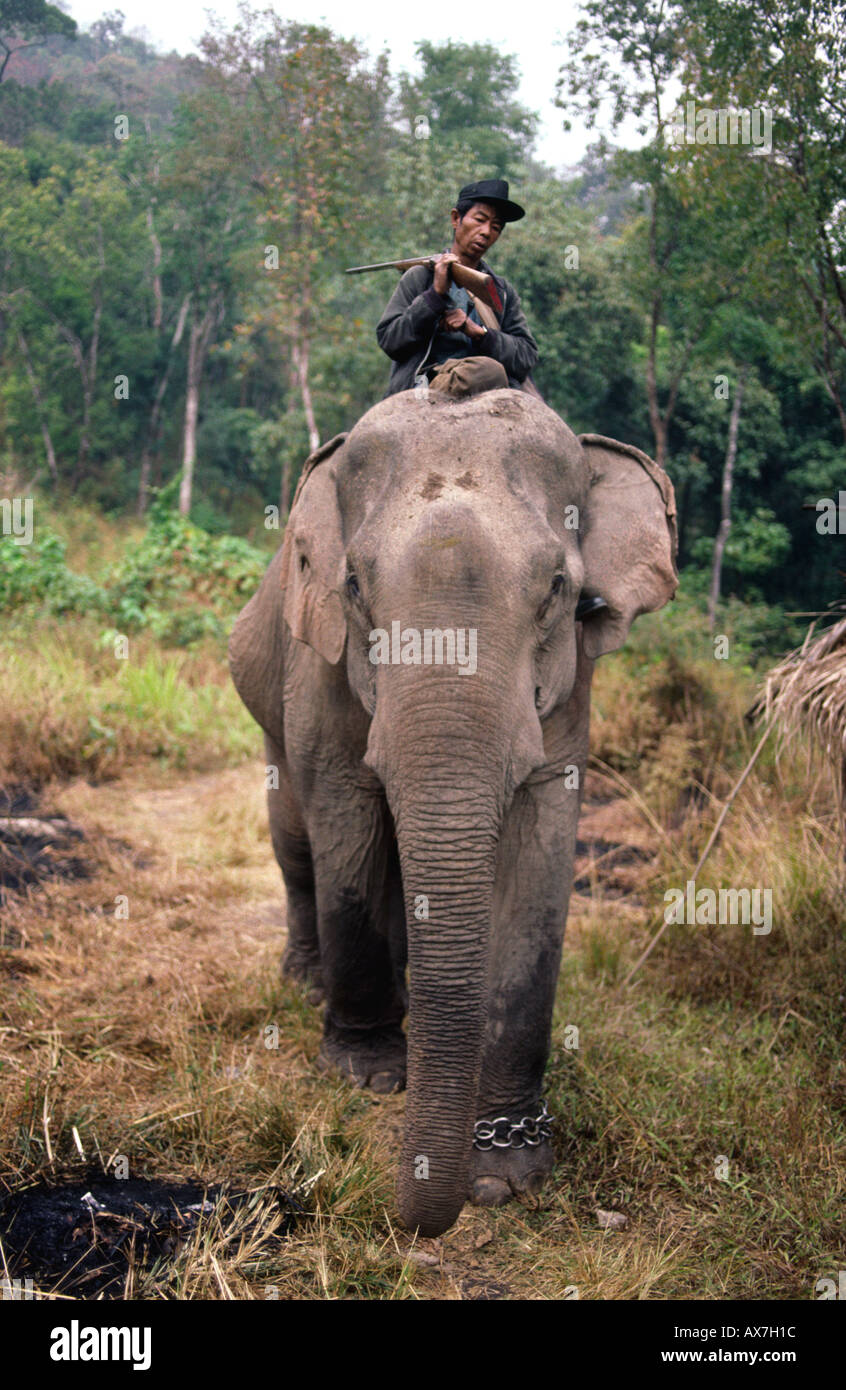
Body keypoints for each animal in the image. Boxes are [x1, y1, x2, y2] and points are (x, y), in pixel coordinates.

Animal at [229, 387, 678, 1238]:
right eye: (355, 586)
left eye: (558, 590)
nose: (413, 1215)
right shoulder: (320, 666)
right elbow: (344, 814)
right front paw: (369, 1075)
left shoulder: (570, 690)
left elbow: (539, 856)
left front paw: (508, 1168)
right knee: (295, 841)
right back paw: (307, 983)